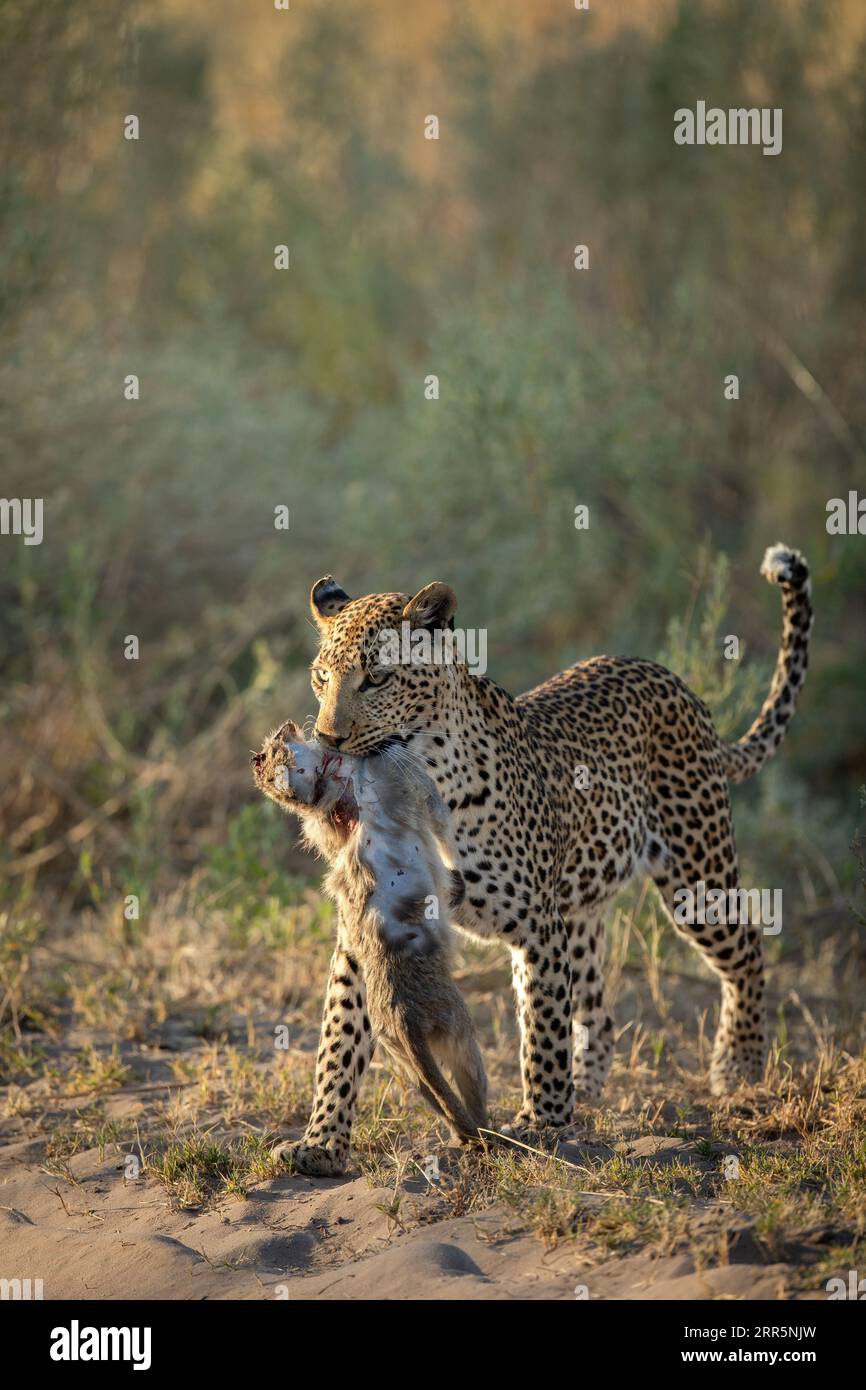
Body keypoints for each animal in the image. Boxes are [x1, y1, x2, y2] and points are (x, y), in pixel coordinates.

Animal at [252, 720, 487, 1175]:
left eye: (265, 753)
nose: (284, 728)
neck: (332, 783)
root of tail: (401, 1016)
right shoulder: (420, 791)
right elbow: (444, 829)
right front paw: (458, 880)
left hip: (406, 1065)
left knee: (440, 1099)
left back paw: (464, 1137)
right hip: (461, 1035)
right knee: (471, 1095)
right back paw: (495, 1134)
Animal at [283, 543, 811, 1171]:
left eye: (377, 678)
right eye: (321, 676)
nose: (327, 737)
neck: (420, 776)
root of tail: (673, 679)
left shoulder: (536, 927)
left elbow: (541, 1027)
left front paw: (543, 1123)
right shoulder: (368, 928)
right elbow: (338, 1036)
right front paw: (321, 1142)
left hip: (695, 875)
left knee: (747, 949)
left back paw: (738, 1066)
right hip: (581, 912)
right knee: (598, 1012)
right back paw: (592, 1089)